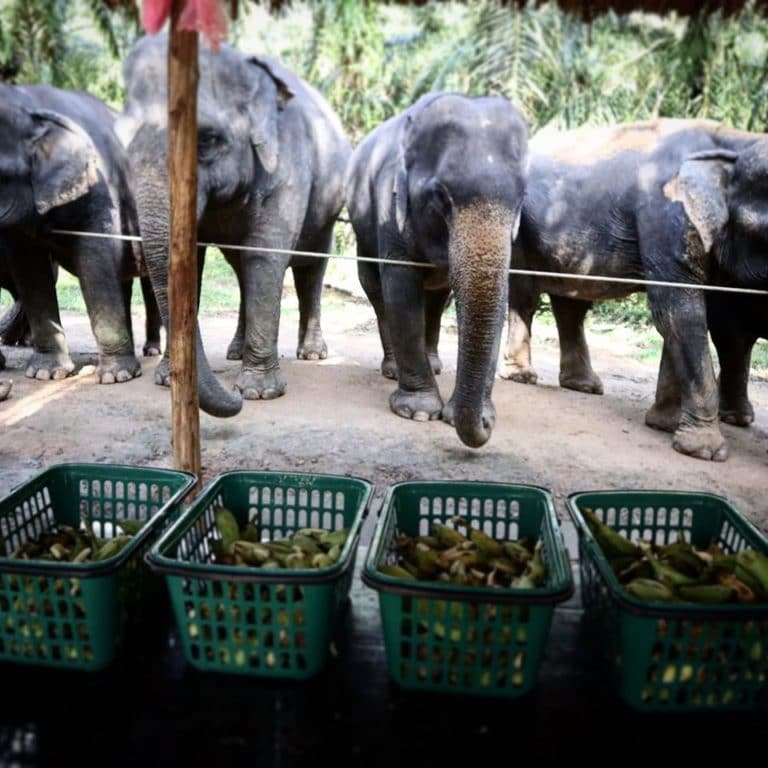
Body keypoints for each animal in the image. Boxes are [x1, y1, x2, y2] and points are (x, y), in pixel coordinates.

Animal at [0, 83, 161, 384]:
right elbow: (30, 270)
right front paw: (45, 373)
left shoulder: (100, 187)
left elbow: (95, 261)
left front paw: (116, 377)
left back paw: (152, 352)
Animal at [115, 34, 352, 417]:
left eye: (207, 139)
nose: (234, 398)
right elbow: (193, 262)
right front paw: (167, 379)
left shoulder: (287, 166)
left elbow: (265, 256)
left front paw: (258, 392)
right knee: (242, 271)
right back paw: (235, 352)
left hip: (329, 205)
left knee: (310, 267)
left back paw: (312, 353)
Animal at [345, 92, 529, 448]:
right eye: (440, 195)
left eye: (522, 196)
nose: (485, 427)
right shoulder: (391, 207)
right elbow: (400, 289)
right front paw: (418, 412)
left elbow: (498, 298)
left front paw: (469, 415)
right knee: (376, 290)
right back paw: (393, 369)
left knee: (436, 299)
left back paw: (435, 364)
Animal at [501, 118, 768, 461]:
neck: (737, 142)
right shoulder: (667, 218)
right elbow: (680, 313)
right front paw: (704, 451)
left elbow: (682, 315)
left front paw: (663, 425)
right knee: (526, 296)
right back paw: (521, 376)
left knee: (571, 301)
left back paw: (584, 385)